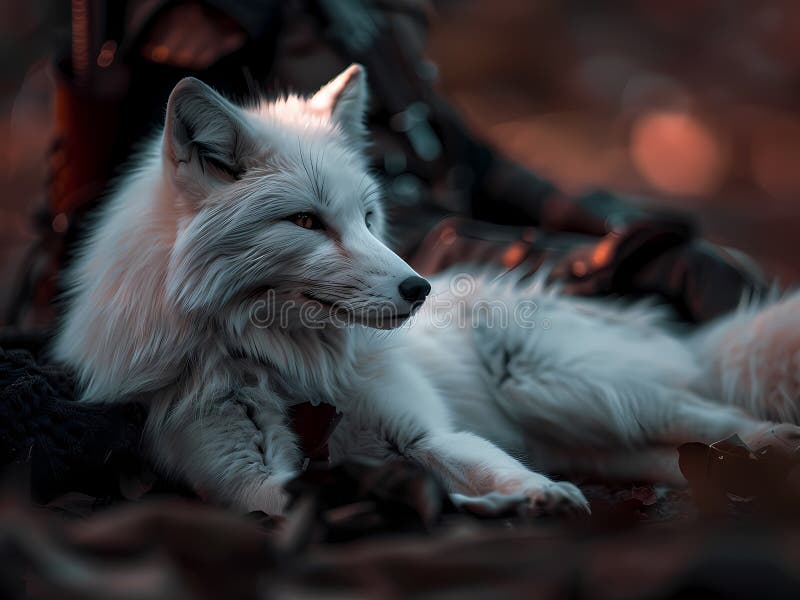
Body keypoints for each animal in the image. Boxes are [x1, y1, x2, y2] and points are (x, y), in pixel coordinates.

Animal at [54, 64, 800, 517]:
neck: (291, 370)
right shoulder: (244, 476)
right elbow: (305, 492)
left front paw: (534, 497)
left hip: (562, 387)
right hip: (593, 431)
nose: (418, 289)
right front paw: (483, 510)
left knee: (708, 411)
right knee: (678, 448)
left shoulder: (425, 432)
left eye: (368, 217)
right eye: (306, 222)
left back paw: (769, 441)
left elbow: (490, 467)